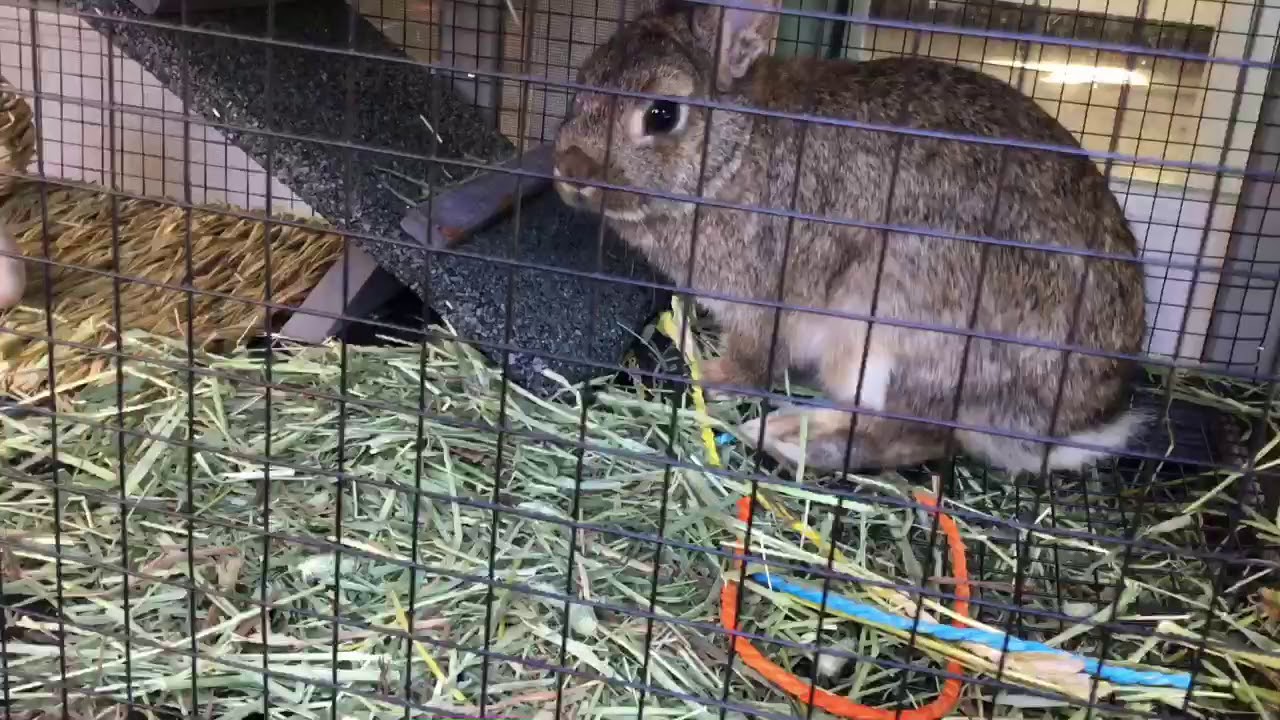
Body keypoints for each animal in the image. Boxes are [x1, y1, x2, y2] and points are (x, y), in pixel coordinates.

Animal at [551, 0, 1148, 475]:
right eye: (580, 85)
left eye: (661, 114)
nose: (570, 170)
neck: (734, 154)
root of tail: (1067, 423)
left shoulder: (763, 301)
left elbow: (754, 361)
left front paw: (711, 375)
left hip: (890, 324)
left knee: (915, 435)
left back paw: (787, 438)